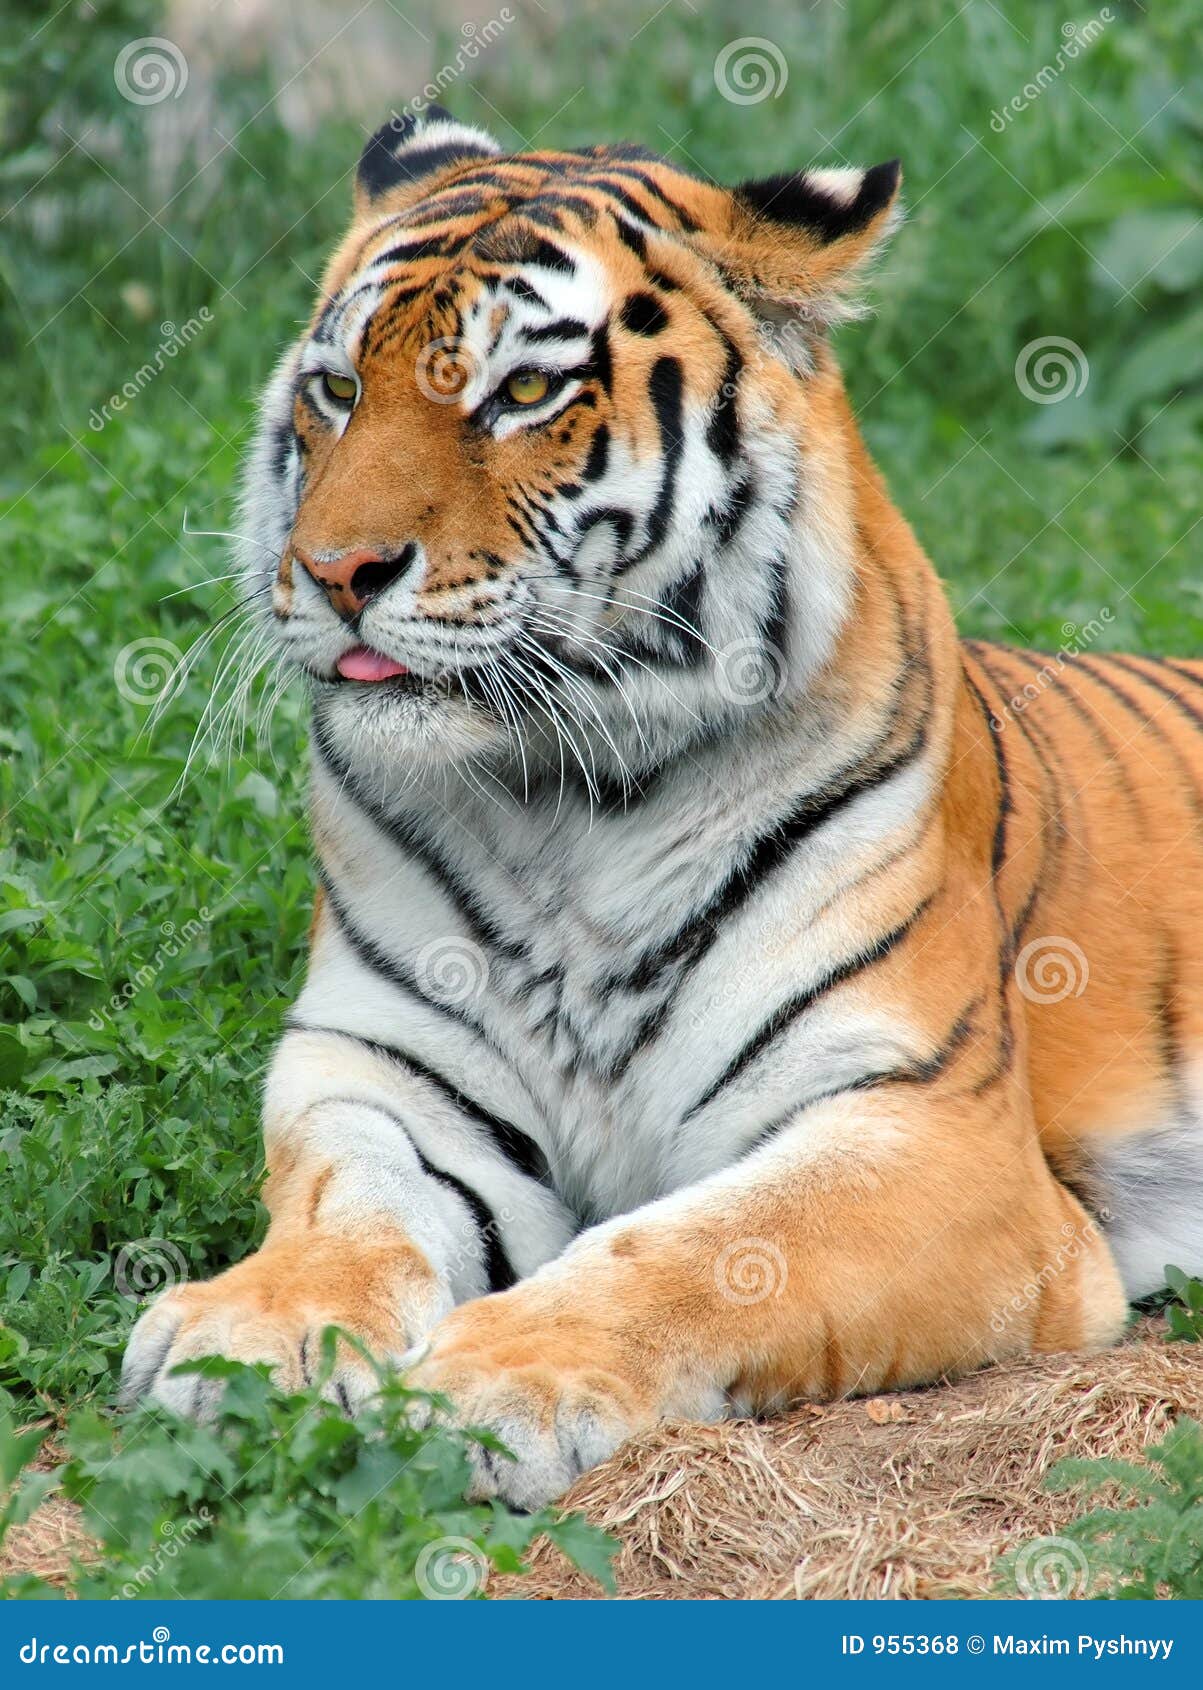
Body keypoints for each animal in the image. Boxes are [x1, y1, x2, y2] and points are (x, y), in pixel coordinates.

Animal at [123, 106, 1203, 1510]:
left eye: (523, 394)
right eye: (339, 390)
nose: (335, 570)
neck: (564, 805)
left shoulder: (925, 1131)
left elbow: (693, 1249)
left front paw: (500, 1380)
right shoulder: (383, 1075)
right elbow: (345, 1213)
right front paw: (240, 1334)